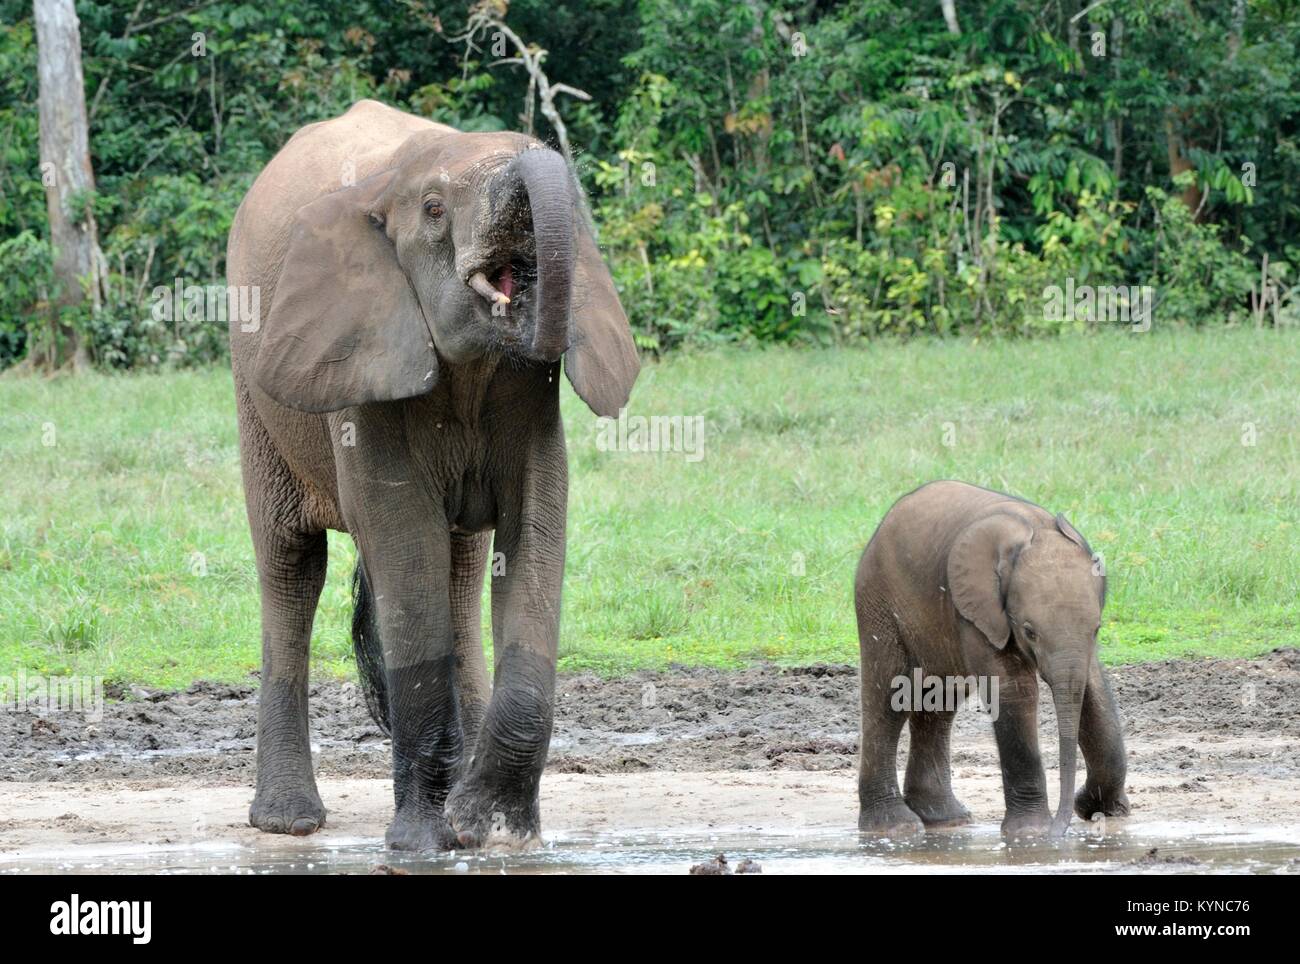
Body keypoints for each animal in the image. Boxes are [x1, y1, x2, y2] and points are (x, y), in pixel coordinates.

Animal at [225, 100, 639, 851]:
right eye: (436, 208)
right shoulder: (361, 358)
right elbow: (403, 540)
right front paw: (425, 840)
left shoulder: (528, 391)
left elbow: (536, 524)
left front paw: (491, 830)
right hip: (256, 393)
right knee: (291, 566)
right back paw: (289, 822)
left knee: (463, 571)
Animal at [854, 481, 1130, 839]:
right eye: (1029, 632)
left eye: (1097, 629)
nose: (1061, 829)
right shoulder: (978, 610)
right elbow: (1014, 690)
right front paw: (1031, 834)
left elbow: (1094, 691)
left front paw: (1102, 810)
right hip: (878, 601)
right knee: (888, 699)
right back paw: (894, 827)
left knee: (939, 701)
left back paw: (945, 819)